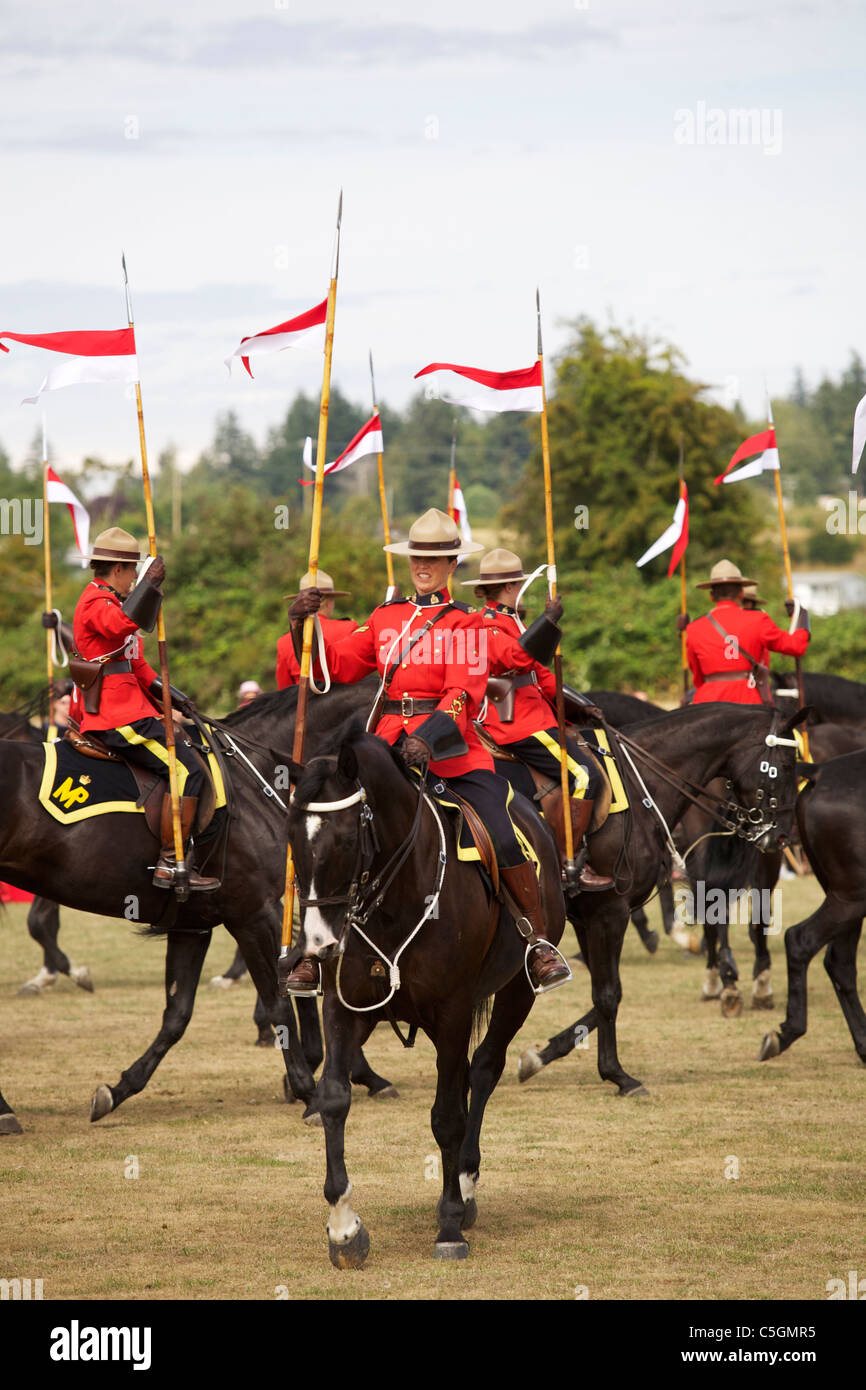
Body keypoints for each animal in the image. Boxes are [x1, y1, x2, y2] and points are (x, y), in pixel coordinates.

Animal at [0, 678, 391, 1134]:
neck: (254, 780)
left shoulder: (194, 924)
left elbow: (177, 1013)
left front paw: (119, 1089)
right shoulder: (255, 913)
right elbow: (280, 1002)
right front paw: (311, 1093)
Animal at [287, 728, 567, 1262]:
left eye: (347, 840)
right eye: (292, 840)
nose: (317, 944)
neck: (395, 899)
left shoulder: (453, 1012)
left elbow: (447, 1117)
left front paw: (450, 1224)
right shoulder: (345, 1008)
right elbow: (334, 1099)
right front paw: (343, 1228)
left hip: (516, 992)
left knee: (483, 1070)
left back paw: (466, 1184)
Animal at [514, 706, 806, 1095]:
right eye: (787, 765)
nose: (784, 836)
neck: (641, 786)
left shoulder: (588, 918)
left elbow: (603, 993)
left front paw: (540, 1055)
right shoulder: (609, 913)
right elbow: (609, 994)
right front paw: (617, 1074)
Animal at [761, 750, 866, 1061]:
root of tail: (820, 770)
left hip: (845, 897)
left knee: (840, 963)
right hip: (851, 896)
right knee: (800, 940)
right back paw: (788, 1032)